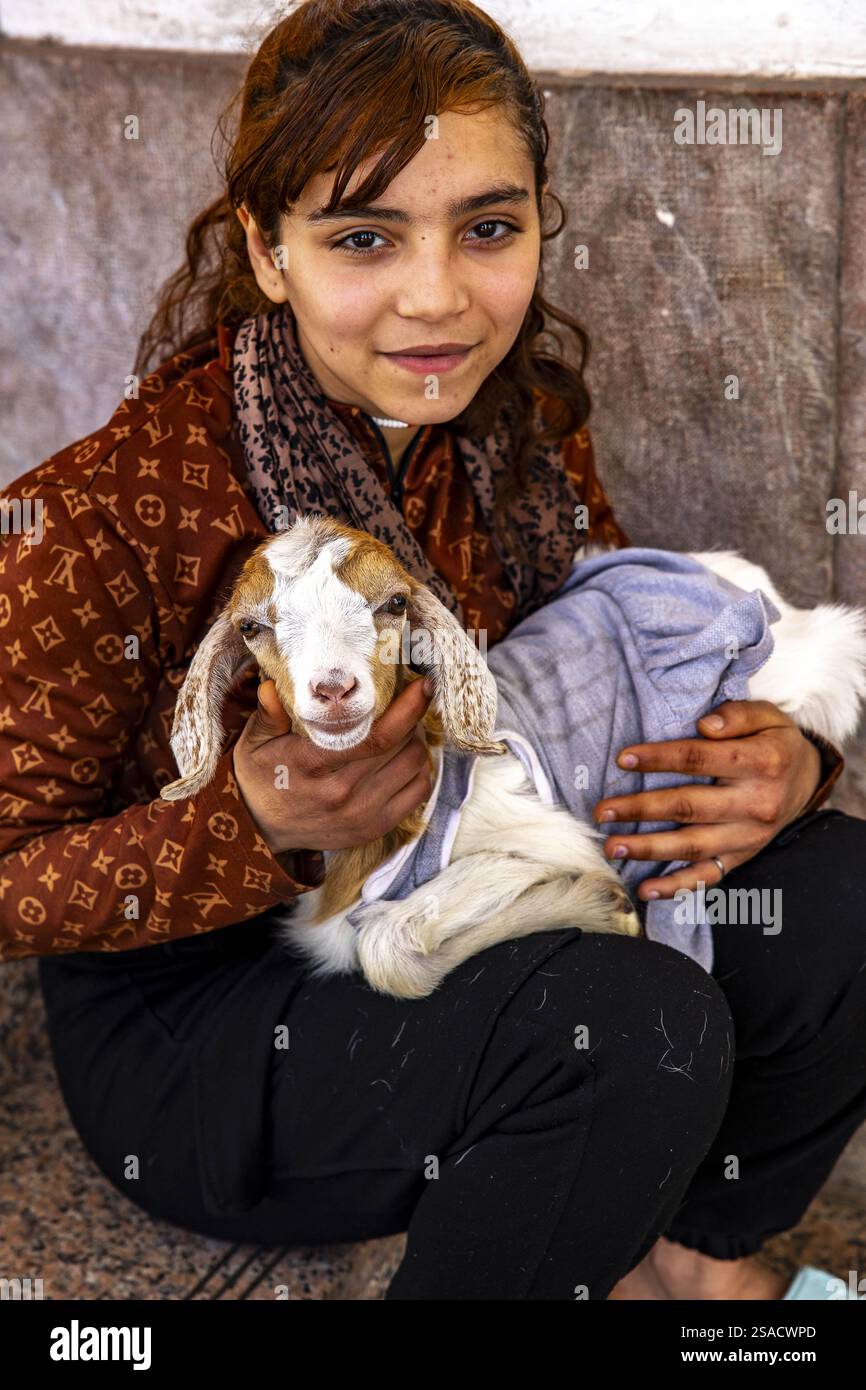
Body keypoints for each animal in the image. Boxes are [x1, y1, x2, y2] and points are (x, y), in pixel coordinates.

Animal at [161, 514, 866, 999]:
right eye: (252, 627)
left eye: (394, 603)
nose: (333, 688)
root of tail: (717, 571)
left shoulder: (550, 837)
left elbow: (386, 946)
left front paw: (598, 904)